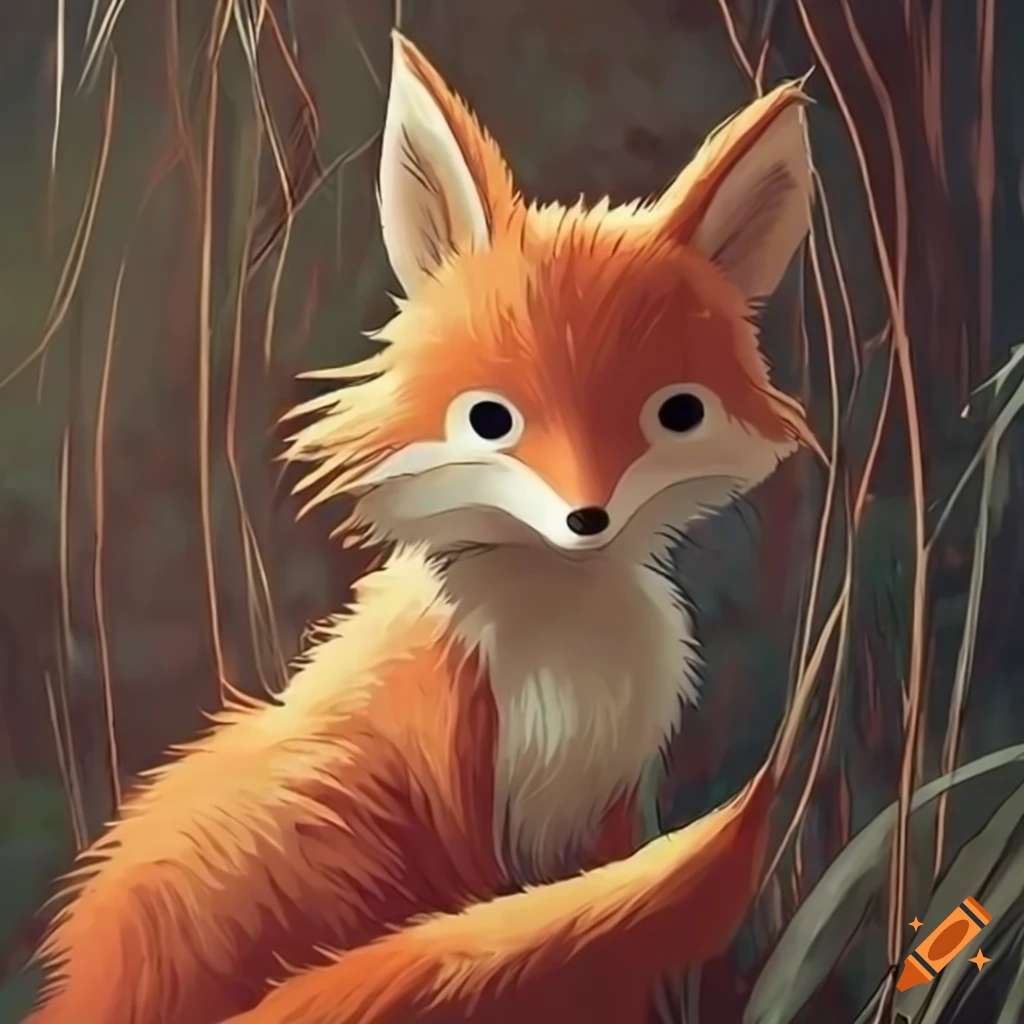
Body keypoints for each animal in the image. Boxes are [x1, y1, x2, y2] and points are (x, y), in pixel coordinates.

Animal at [26, 31, 817, 1024]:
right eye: (490, 421)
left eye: (677, 415)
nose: (586, 517)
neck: (564, 651)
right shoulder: (448, 773)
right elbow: (487, 910)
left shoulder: (608, 798)